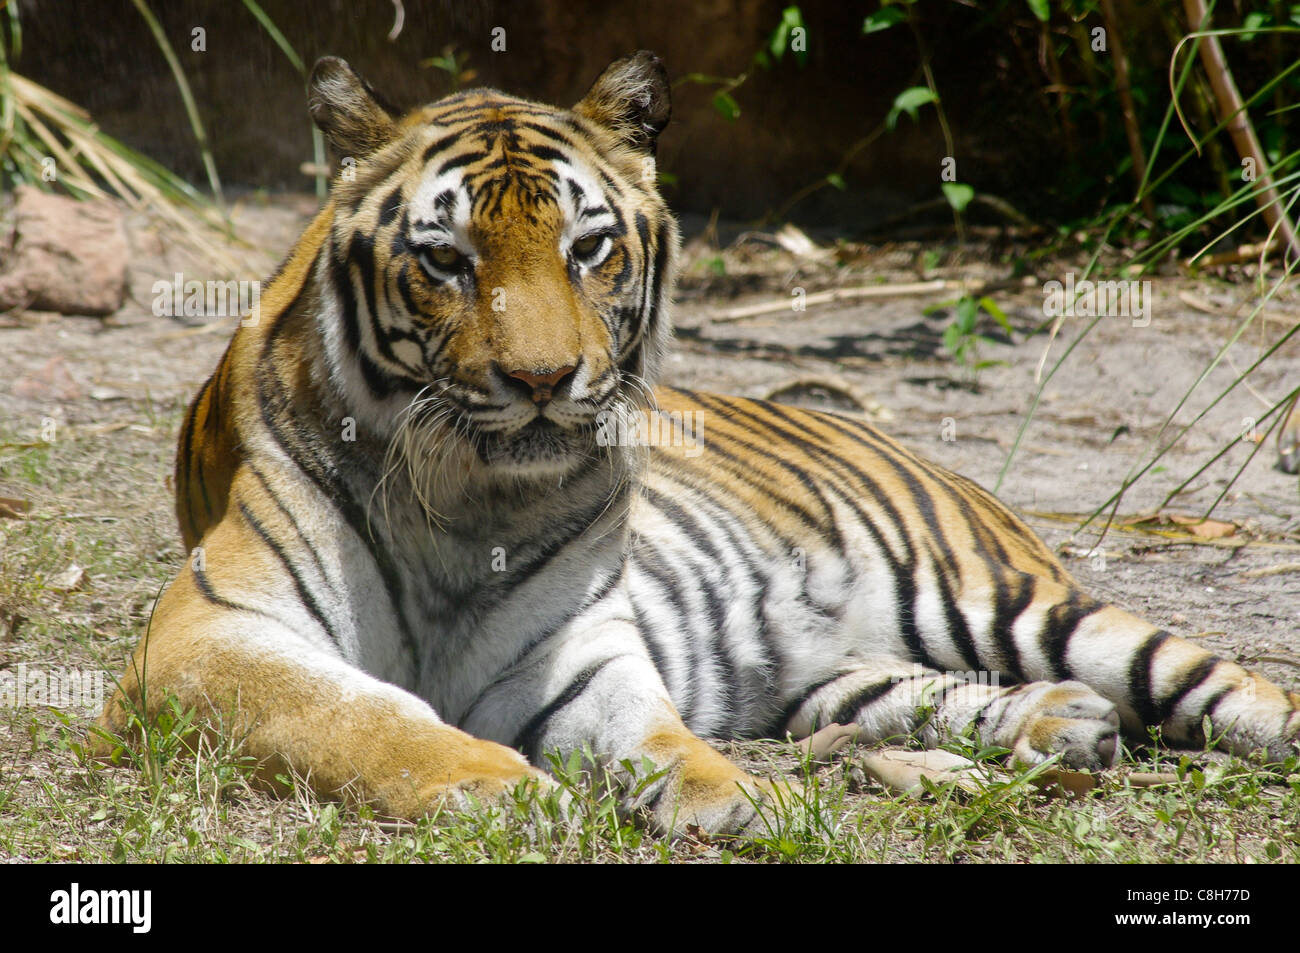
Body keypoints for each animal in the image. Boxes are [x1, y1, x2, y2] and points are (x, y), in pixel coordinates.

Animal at [98, 51, 1300, 837]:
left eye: (587, 249)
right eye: (445, 259)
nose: (543, 382)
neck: (468, 501)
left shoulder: (569, 653)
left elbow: (661, 736)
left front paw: (743, 798)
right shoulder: (207, 634)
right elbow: (354, 713)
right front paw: (499, 789)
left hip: (1010, 600)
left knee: (1219, 683)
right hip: (844, 675)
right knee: (930, 695)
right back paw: (1062, 728)